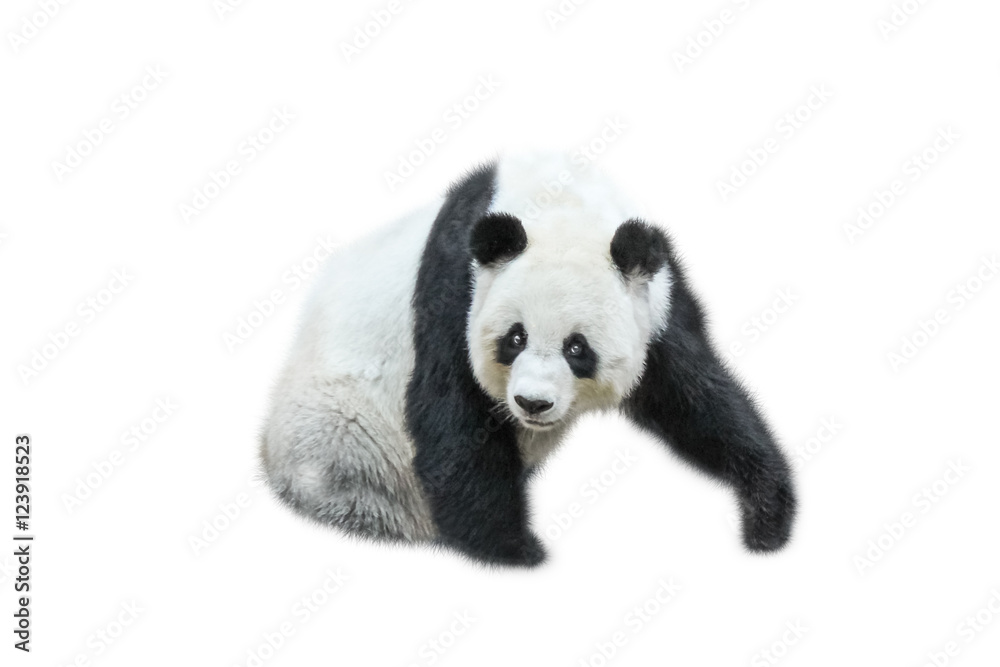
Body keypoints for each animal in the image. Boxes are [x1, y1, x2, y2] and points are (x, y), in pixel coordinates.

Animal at [260, 154, 796, 567]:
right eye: (514, 339)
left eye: (578, 349)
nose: (532, 404)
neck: (560, 203)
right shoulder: (457, 285)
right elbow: (454, 416)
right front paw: (515, 550)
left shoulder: (654, 299)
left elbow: (693, 399)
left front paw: (766, 515)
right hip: (340, 432)